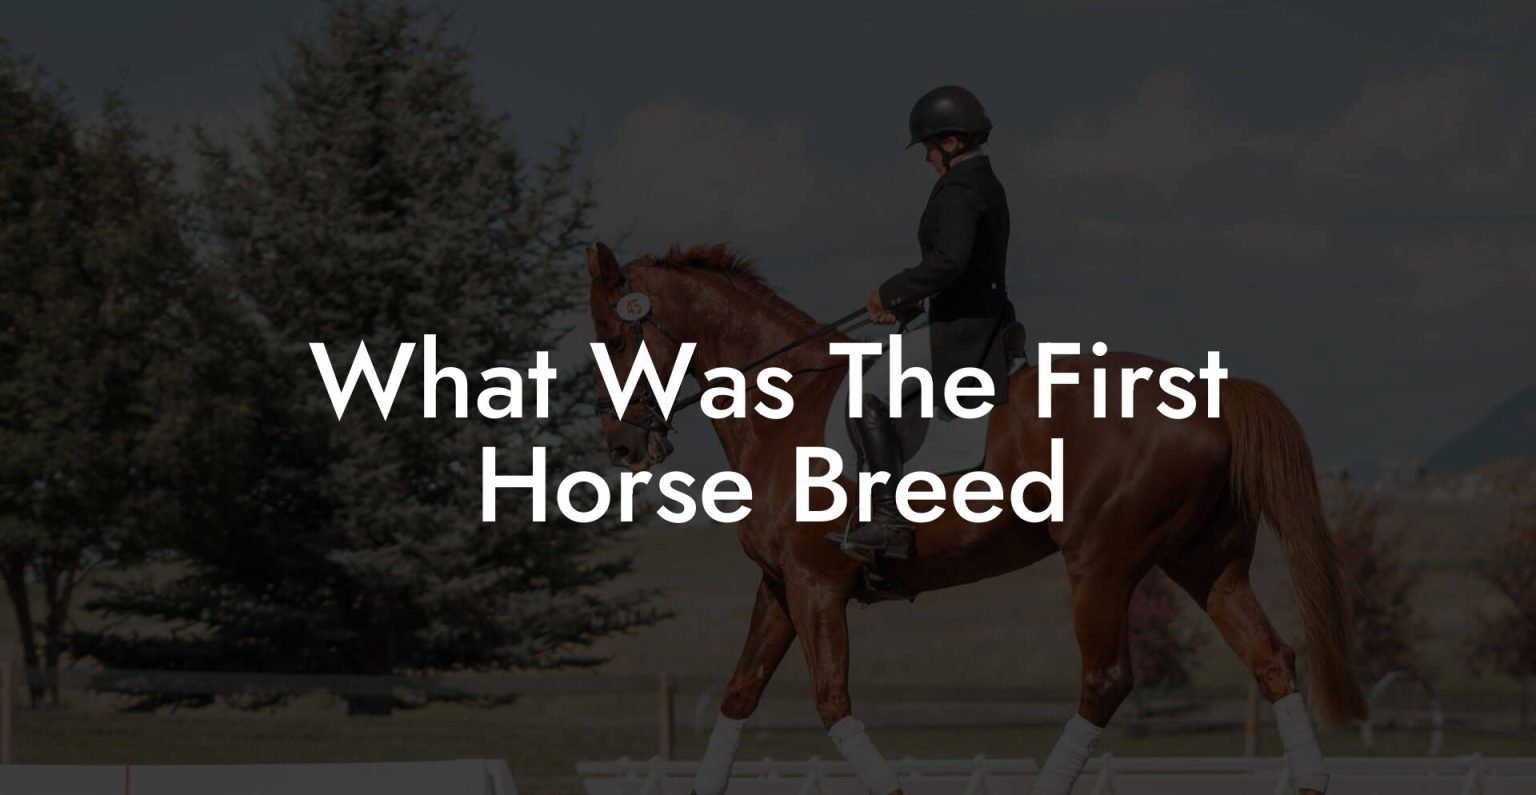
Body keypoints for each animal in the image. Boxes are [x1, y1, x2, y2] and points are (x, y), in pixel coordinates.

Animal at [585, 242, 1366, 795]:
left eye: (617, 339)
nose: (621, 447)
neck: (785, 405)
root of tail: (1210, 394)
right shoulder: (781, 586)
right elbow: (741, 692)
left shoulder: (816, 587)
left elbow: (833, 702)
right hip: (1207, 562)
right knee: (1271, 657)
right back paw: (1309, 779)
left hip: (1101, 563)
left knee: (1106, 680)